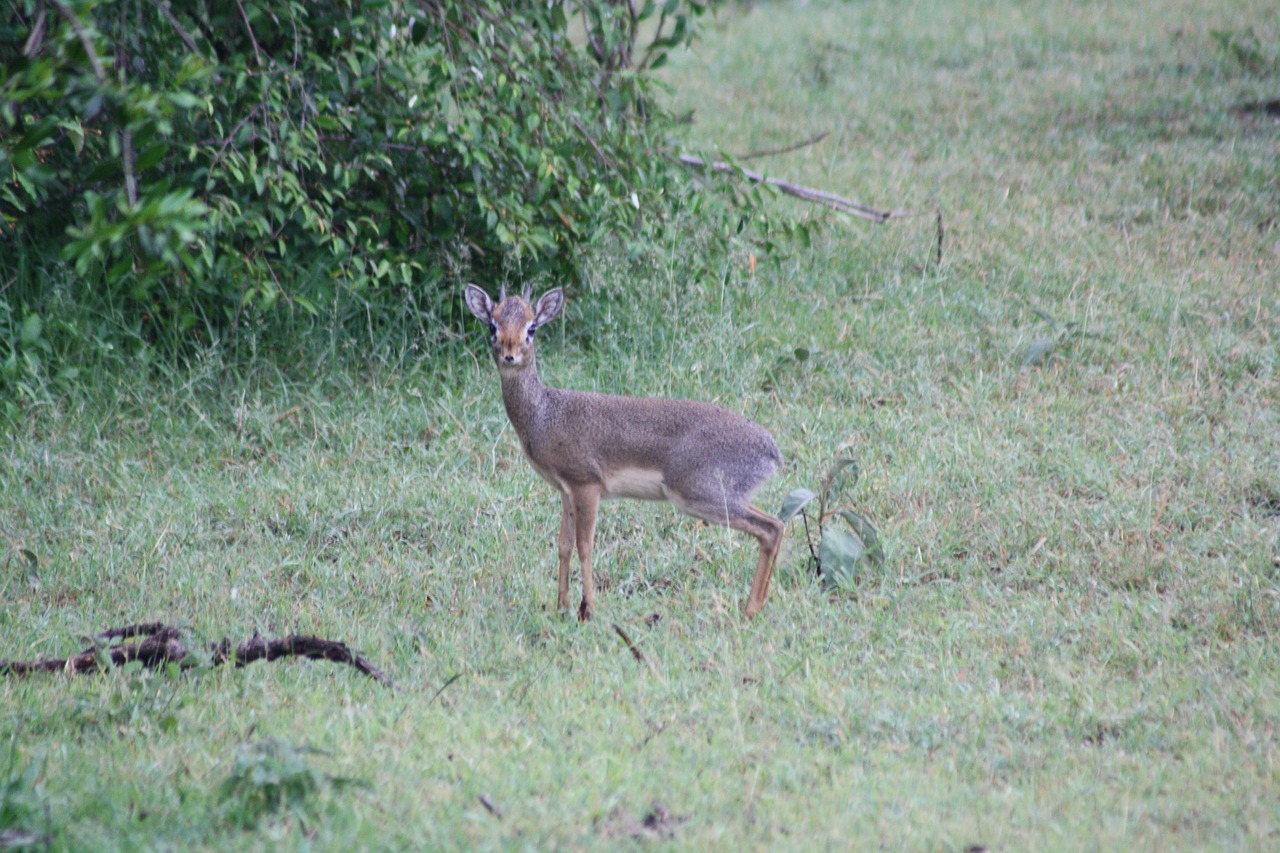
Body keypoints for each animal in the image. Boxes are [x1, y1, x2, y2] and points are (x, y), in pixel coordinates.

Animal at [464, 284, 784, 620]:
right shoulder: (565, 491)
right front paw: (561, 606)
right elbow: (564, 545)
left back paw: (750, 610)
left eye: (532, 327)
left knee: (772, 527)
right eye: (493, 325)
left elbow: (585, 546)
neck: (545, 414)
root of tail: (771, 450)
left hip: (700, 496)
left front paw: (588, 610)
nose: (509, 355)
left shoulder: (587, 486)